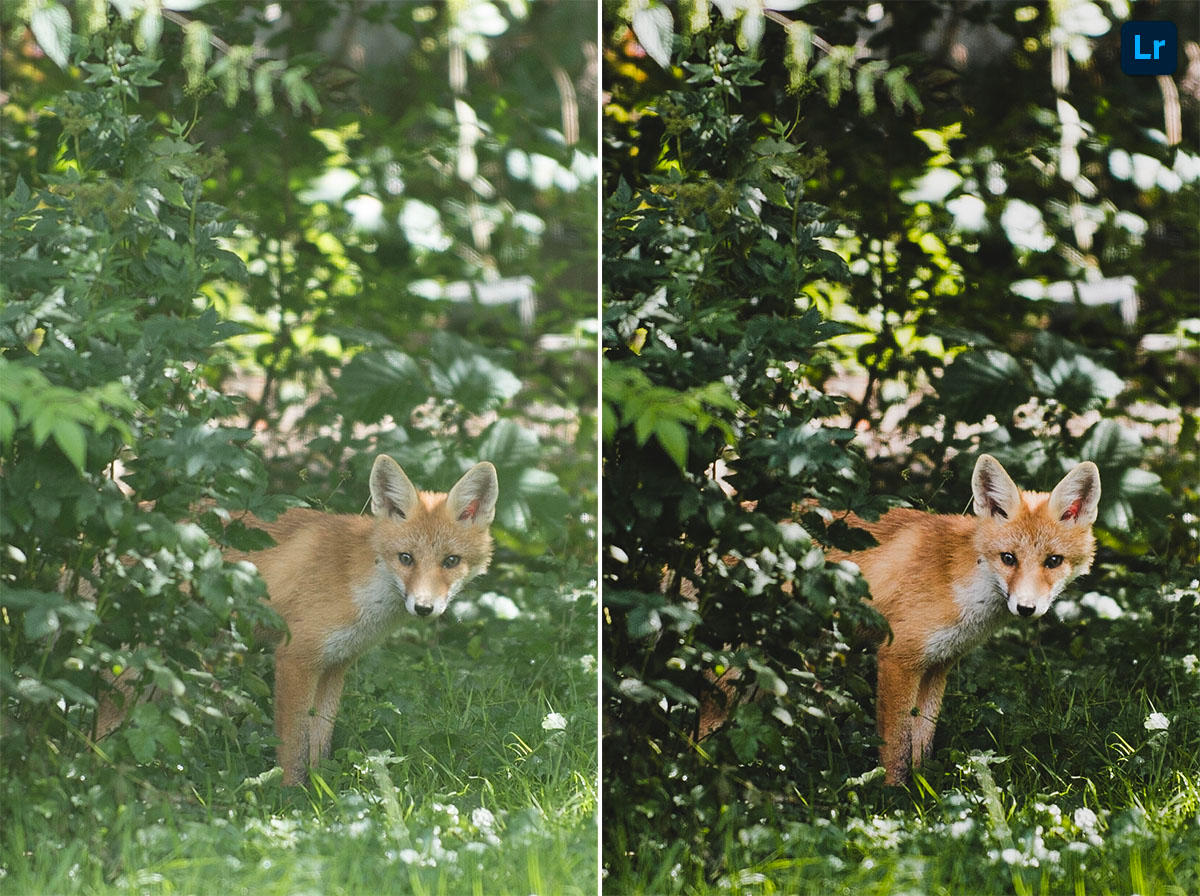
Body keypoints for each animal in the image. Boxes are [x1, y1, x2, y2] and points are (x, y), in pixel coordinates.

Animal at [96, 455, 499, 786]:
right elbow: (293, 747)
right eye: (406, 558)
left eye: (450, 561)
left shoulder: (335, 665)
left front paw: (322, 795)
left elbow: (319, 744)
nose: (424, 608)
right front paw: (290, 799)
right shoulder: (295, 658)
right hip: (131, 670)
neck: (357, 582)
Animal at [830, 454, 1101, 785]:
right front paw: (892, 792)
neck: (957, 585)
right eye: (1008, 558)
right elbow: (896, 748)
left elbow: (923, 743)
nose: (1026, 608)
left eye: (1053, 561)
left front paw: (925, 788)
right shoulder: (898, 658)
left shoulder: (938, 664)